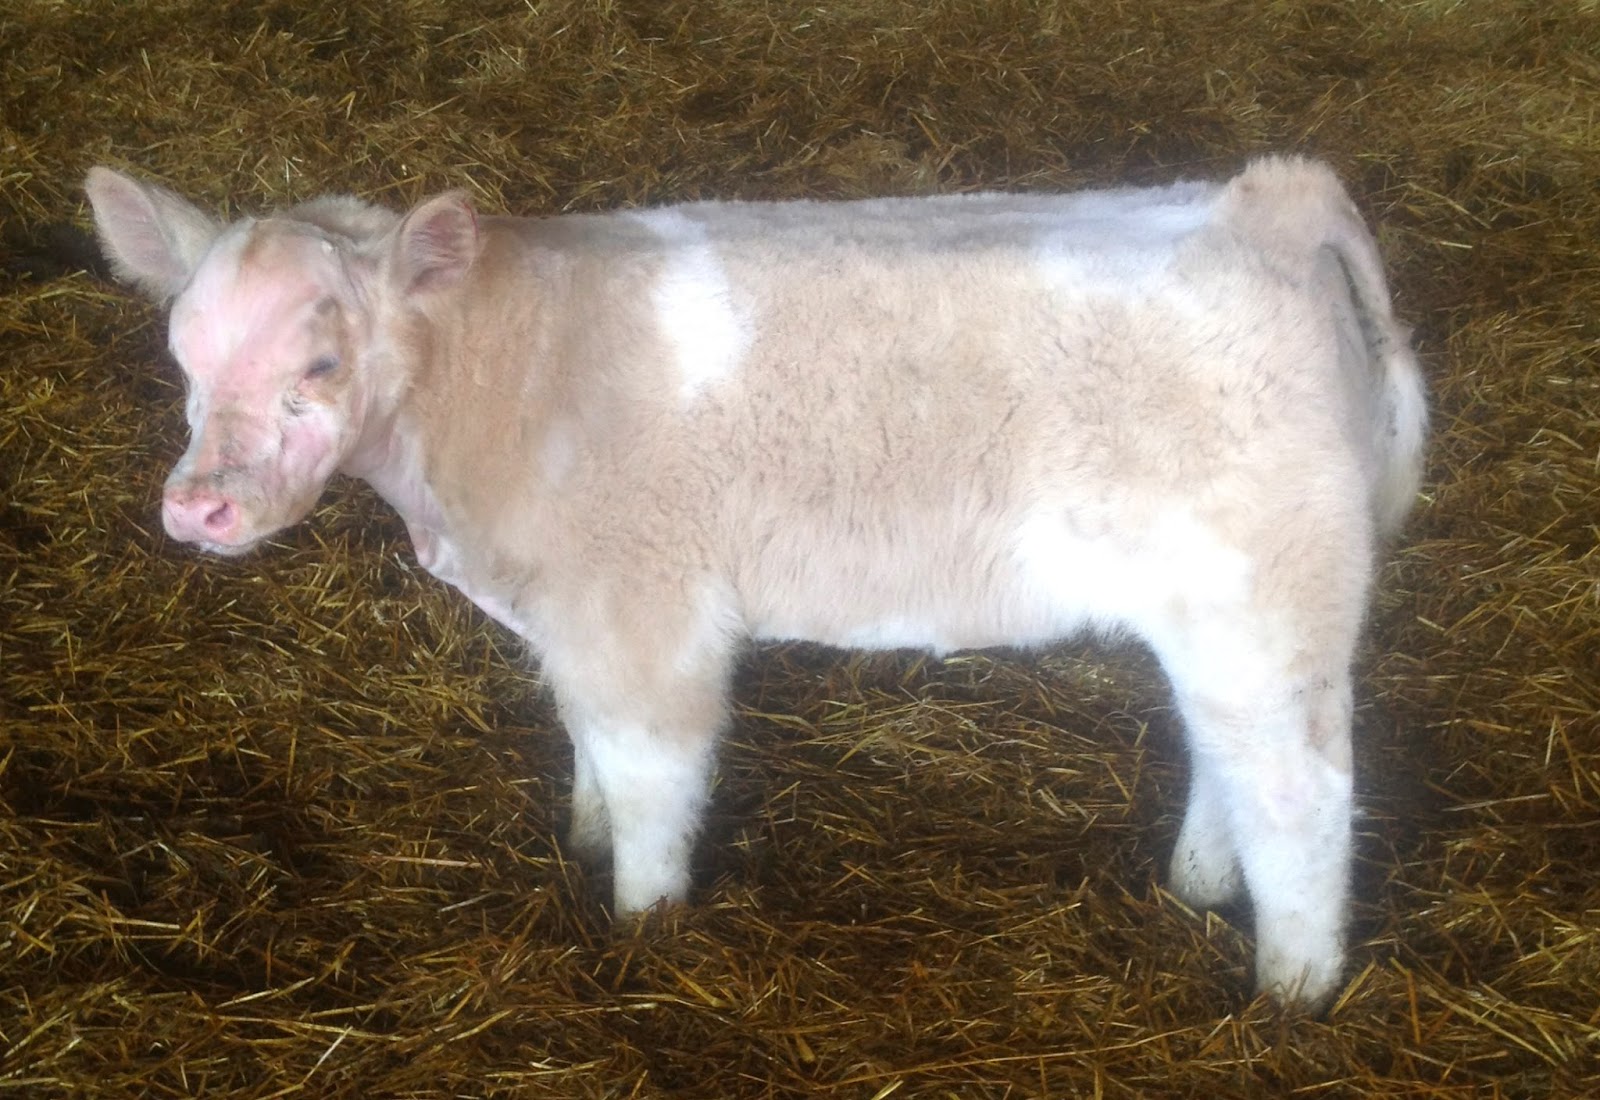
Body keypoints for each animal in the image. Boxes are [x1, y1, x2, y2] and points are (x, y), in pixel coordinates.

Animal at [85, 156, 1426, 1008]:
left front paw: (639, 928)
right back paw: (1198, 889)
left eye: (318, 361)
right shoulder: (573, 617)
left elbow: (651, 779)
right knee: (1229, 759)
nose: (198, 504)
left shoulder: (646, 611)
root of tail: (1265, 201)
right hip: (1217, 613)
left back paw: (1291, 993)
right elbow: (585, 740)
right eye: (182, 354)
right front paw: (579, 836)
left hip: (1266, 597)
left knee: (1303, 794)